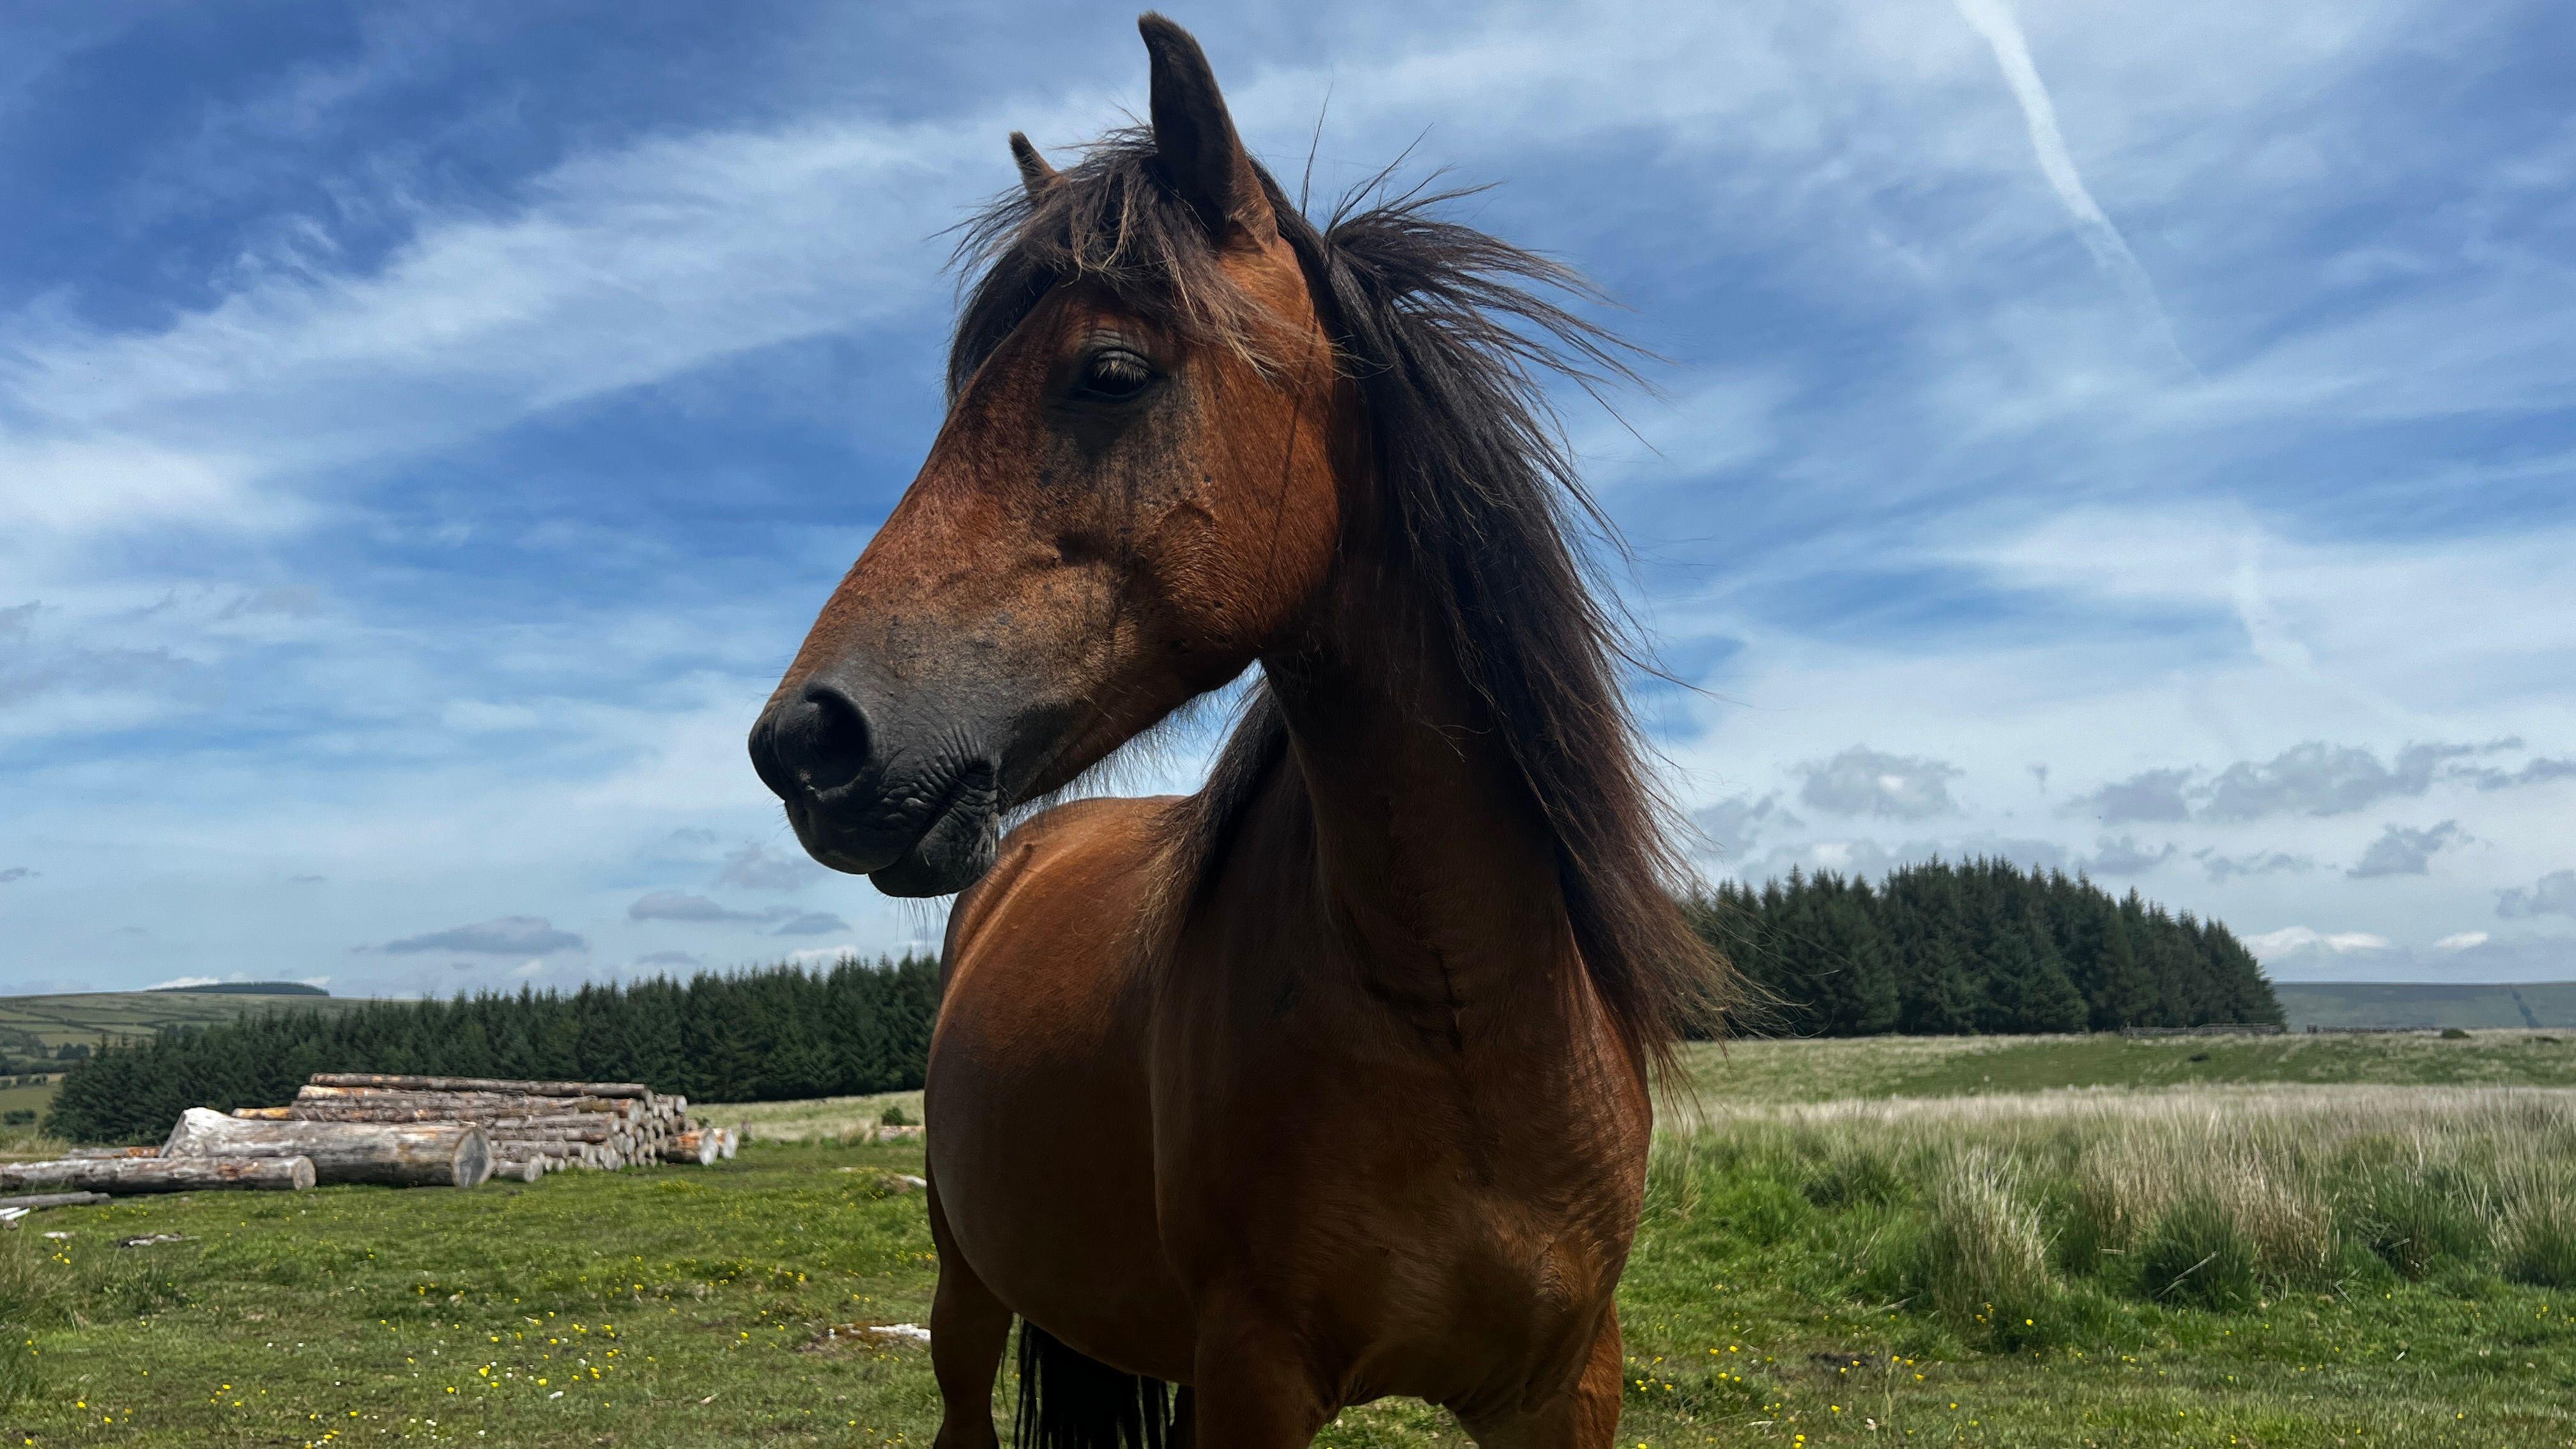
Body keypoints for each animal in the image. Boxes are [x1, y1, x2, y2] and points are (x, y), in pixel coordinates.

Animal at [748, 16, 1723, 1447]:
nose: (806, 741)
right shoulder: (1251, 1378)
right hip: (968, 1288)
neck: (1462, 1018)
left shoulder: (1565, 1385)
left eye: (1109, 373)